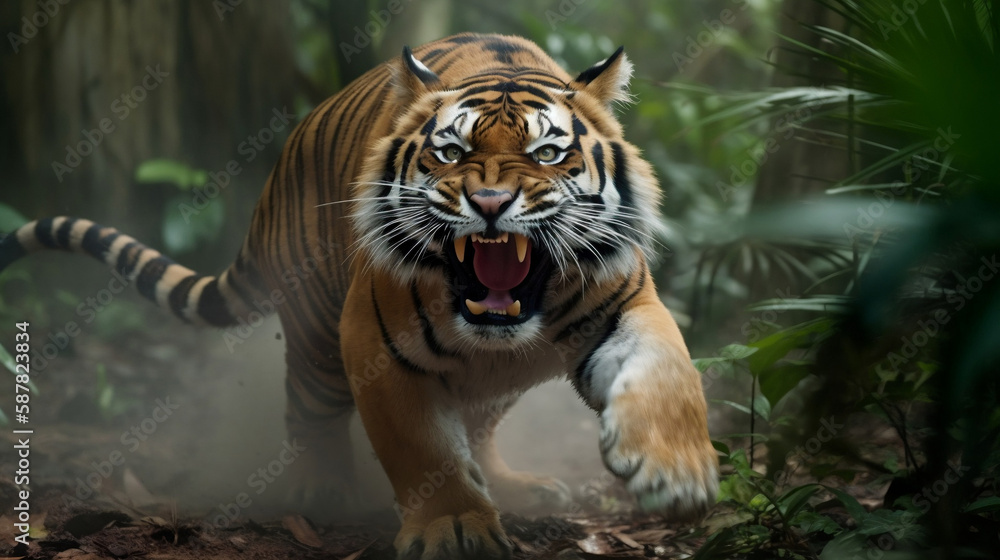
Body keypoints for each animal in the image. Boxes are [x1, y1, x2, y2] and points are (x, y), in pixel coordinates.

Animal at [0, 33, 718, 559]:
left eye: (547, 153)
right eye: (449, 152)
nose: (489, 202)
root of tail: (281, 164)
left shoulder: (629, 307)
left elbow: (669, 373)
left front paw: (677, 474)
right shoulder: (377, 344)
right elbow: (423, 450)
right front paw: (454, 527)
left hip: (496, 380)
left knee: (481, 421)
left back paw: (517, 485)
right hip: (318, 332)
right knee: (306, 410)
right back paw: (319, 489)